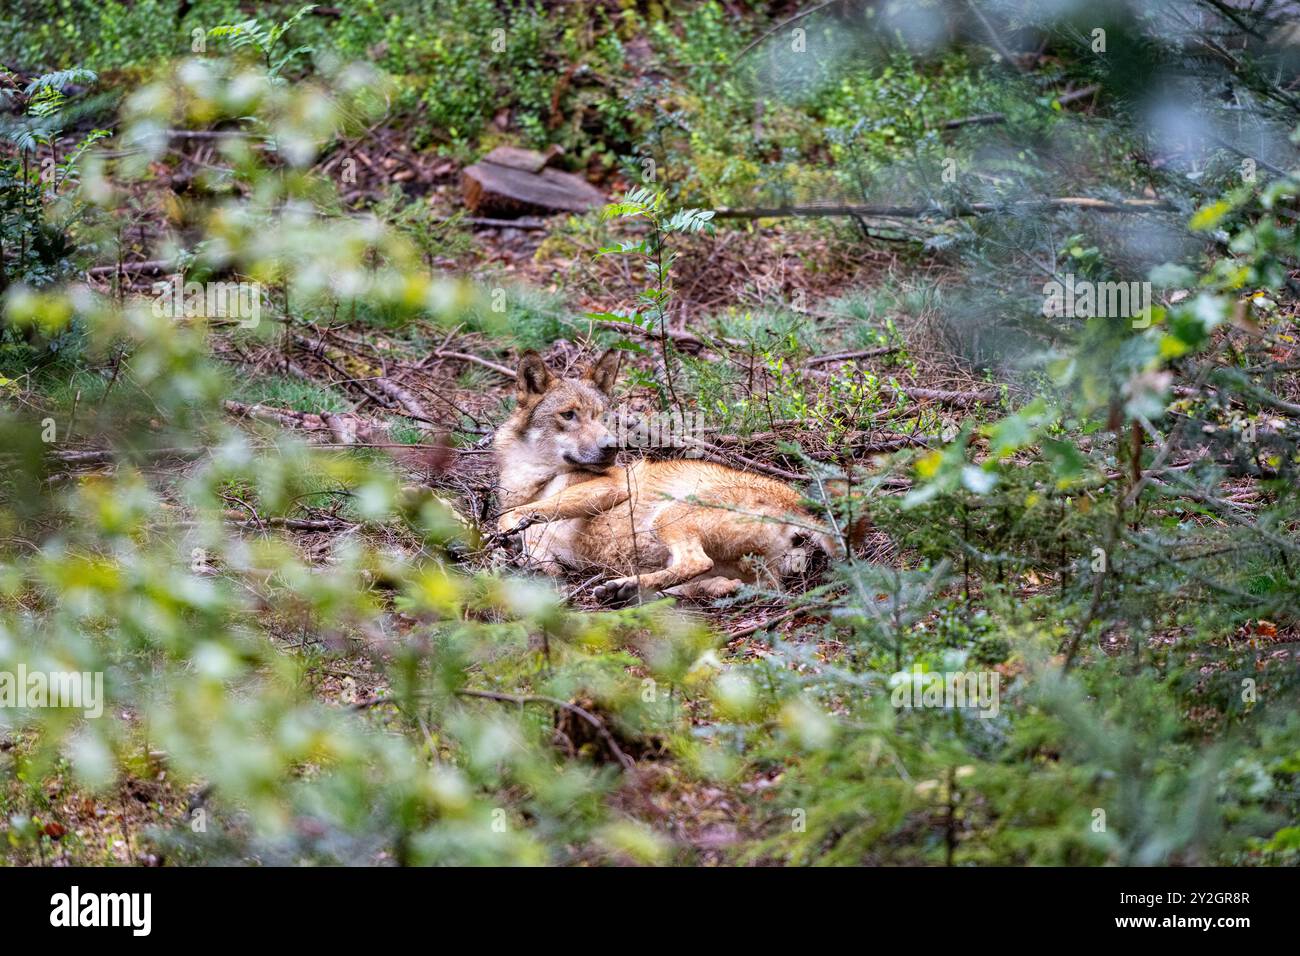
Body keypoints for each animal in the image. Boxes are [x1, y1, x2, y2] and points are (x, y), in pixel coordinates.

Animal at [493, 349, 857, 602]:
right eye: (568, 415)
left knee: (695, 563)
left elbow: (511, 516)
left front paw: (505, 537)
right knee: (717, 583)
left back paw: (625, 587)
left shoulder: (613, 485)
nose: (611, 447)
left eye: (602, 416)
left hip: (669, 516)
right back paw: (631, 589)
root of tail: (798, 506)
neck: (536, 479)